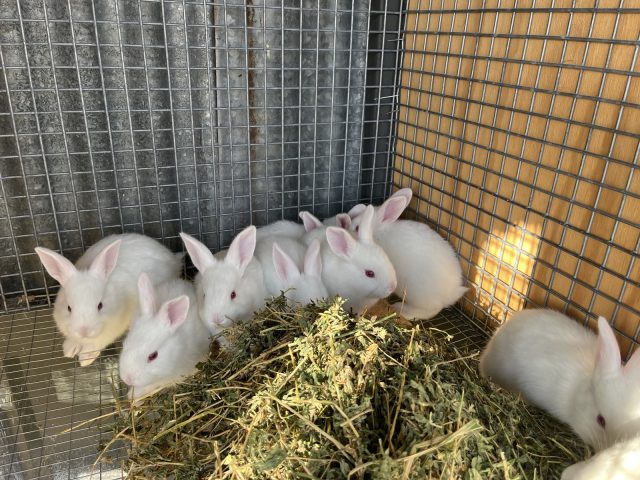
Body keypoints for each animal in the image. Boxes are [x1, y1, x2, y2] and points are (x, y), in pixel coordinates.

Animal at [35, 234, 182, 366]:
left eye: (100, 305)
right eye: (69, 308)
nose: (84, 331)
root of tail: (174, 259)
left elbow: (95, 344)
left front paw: (85, 358)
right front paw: (69, 349)